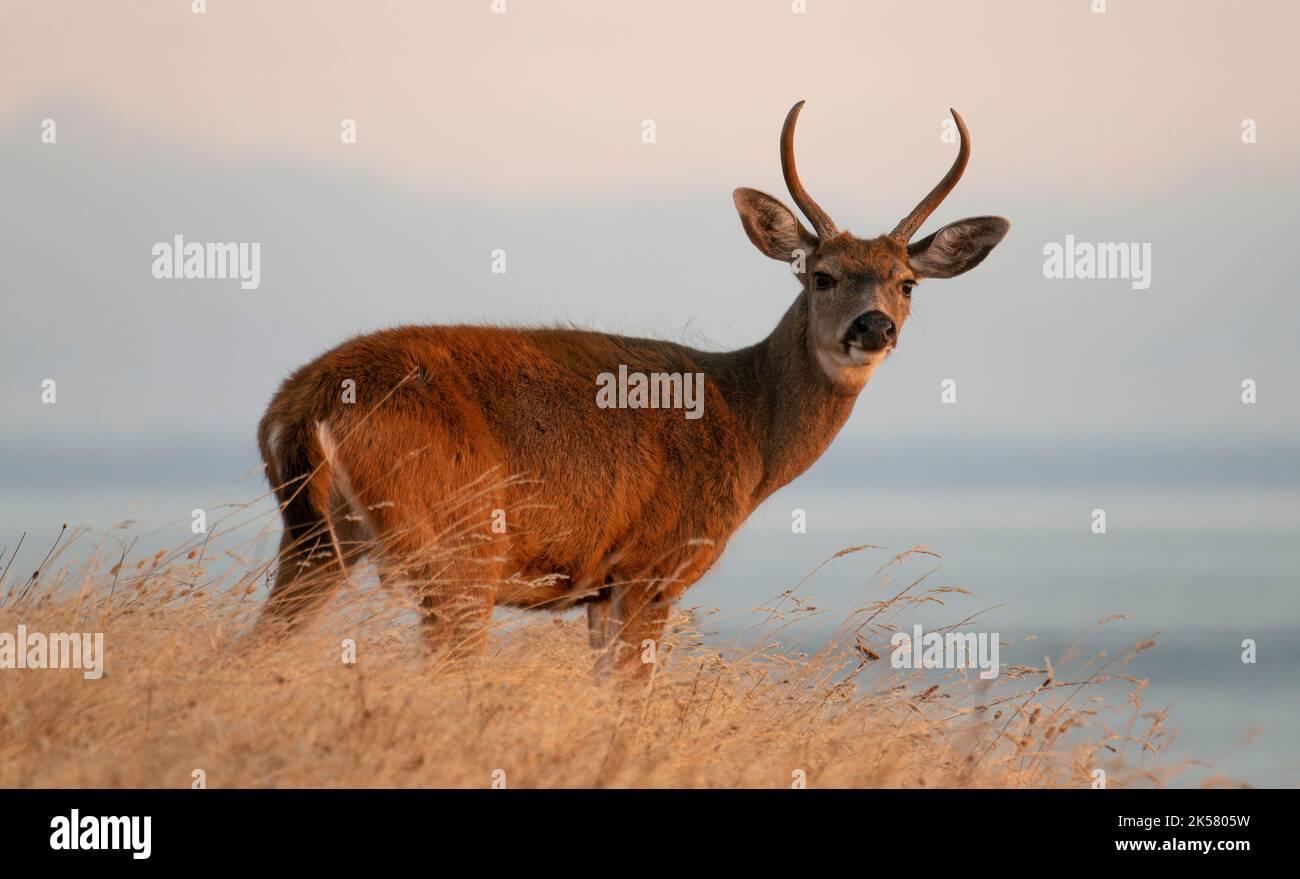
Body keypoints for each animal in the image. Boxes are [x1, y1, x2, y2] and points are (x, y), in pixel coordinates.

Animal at [253, 101, 1009, 679]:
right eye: (821, 274)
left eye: (906, 283)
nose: (874, 325)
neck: (745, 421)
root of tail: (302, 402)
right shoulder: (651, 567)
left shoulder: (602, 590)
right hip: (457, 547)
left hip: (317, 539)